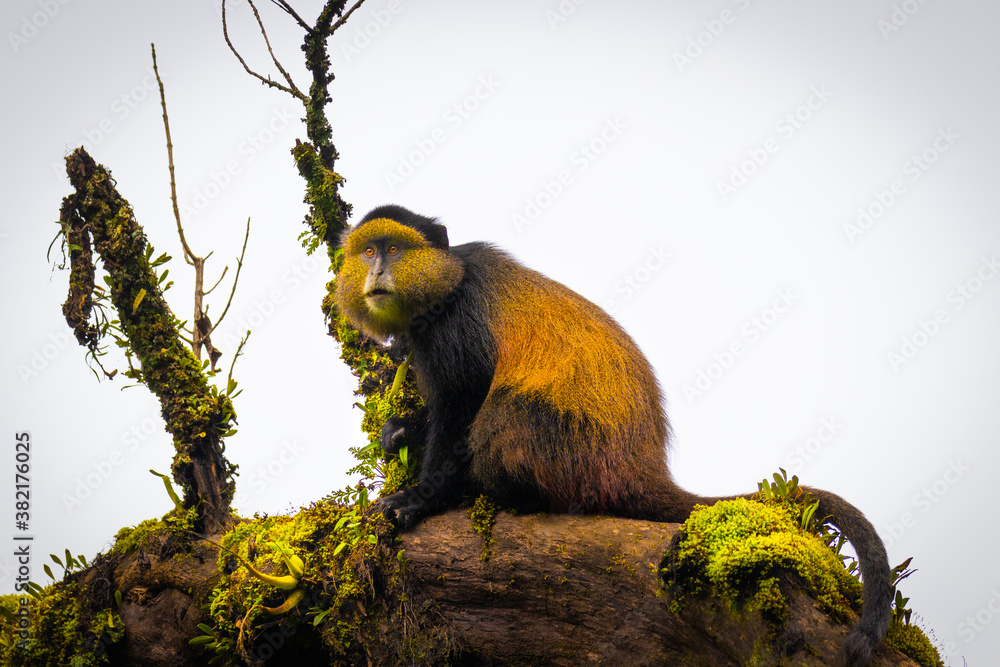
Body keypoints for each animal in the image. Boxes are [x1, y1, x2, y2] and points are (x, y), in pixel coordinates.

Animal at [334, 204, 892, 666]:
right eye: (368, 250)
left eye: (395, 249)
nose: (377, 270)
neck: (444, 282)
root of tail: (641, 467)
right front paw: (402, 431)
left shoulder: (455, 326)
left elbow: (461, 405)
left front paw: (420, 499)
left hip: (572, 450)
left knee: (501, 416)